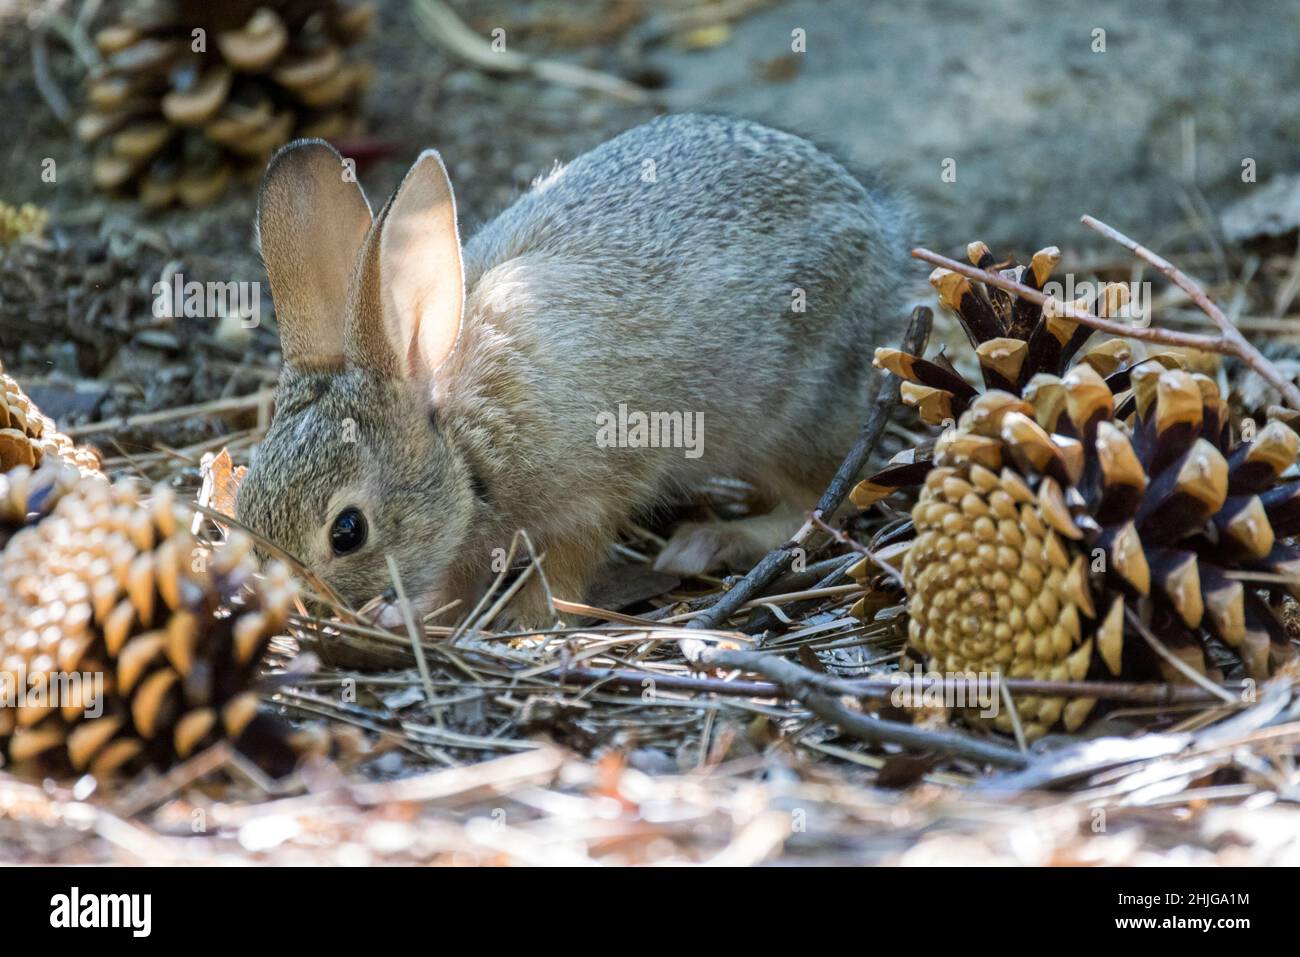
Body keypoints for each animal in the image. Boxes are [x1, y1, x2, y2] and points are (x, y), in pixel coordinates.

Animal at [235, 113, 914, 629]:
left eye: (347, 530)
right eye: (244, 494)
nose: (285, 600)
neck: (462, 442)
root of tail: (878, 225)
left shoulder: (592, 495)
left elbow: (563, 568)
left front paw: (526, 619)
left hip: (789, 414)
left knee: (816, 503)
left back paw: (703, 543)